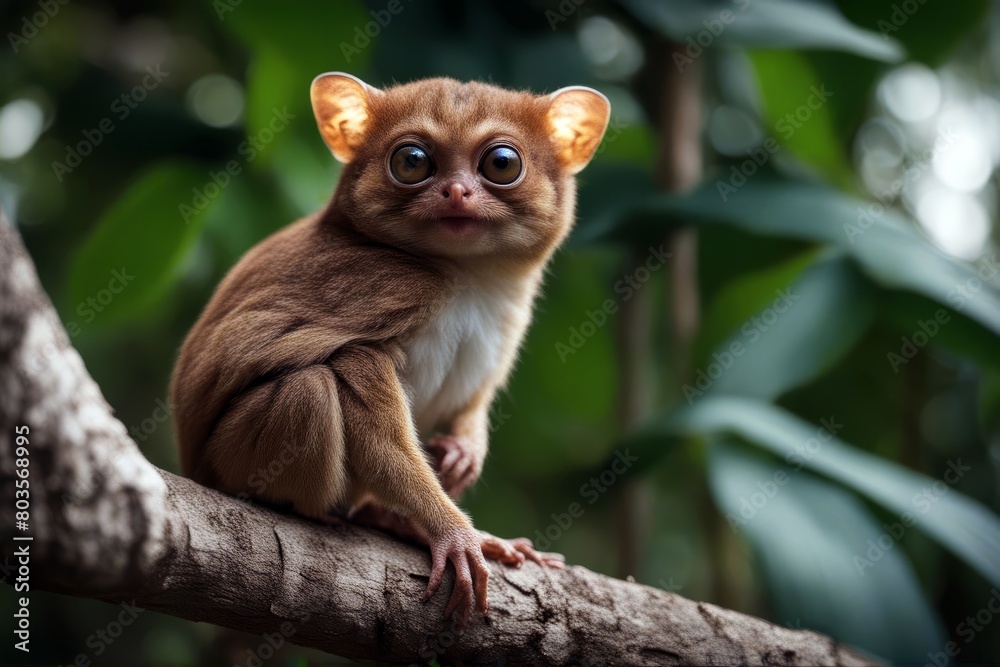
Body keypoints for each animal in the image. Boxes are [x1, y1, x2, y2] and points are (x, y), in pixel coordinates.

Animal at [169, 72, 610, 624]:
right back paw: (317, 512)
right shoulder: (391, 289)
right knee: (310, 386)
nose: (457, 191)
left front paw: (464, 453)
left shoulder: (514, 311)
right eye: (412, 161)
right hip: (233, 462)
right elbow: (360, 383)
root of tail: (195, 469)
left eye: (502, 164)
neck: (466, 276)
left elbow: (476, 397)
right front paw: (453, 533)